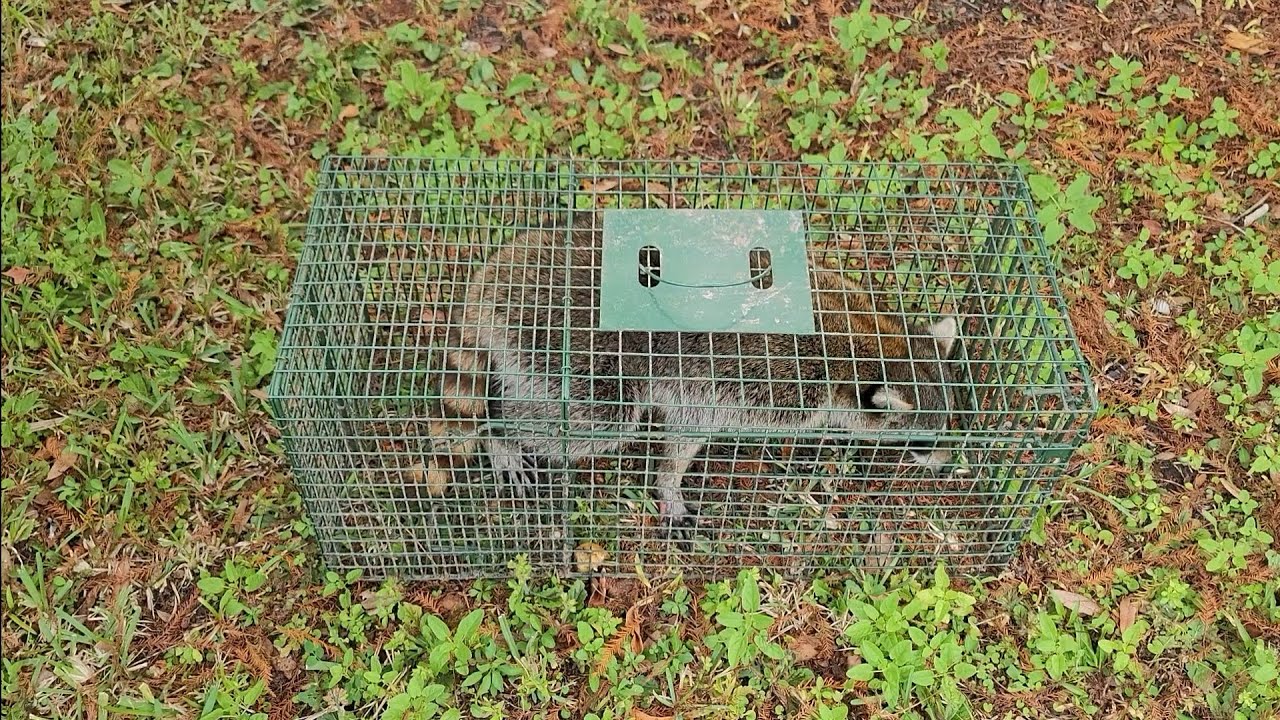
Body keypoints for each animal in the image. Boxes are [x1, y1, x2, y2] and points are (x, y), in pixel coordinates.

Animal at [430, 214, 961, 528]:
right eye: (921, 443)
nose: (944, 465)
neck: (872, 338)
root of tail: (500, 272)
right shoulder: (764, 388)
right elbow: (688, 431)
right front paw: (669, 482)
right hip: (575, 353)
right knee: (593, 422)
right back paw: (501, 432)